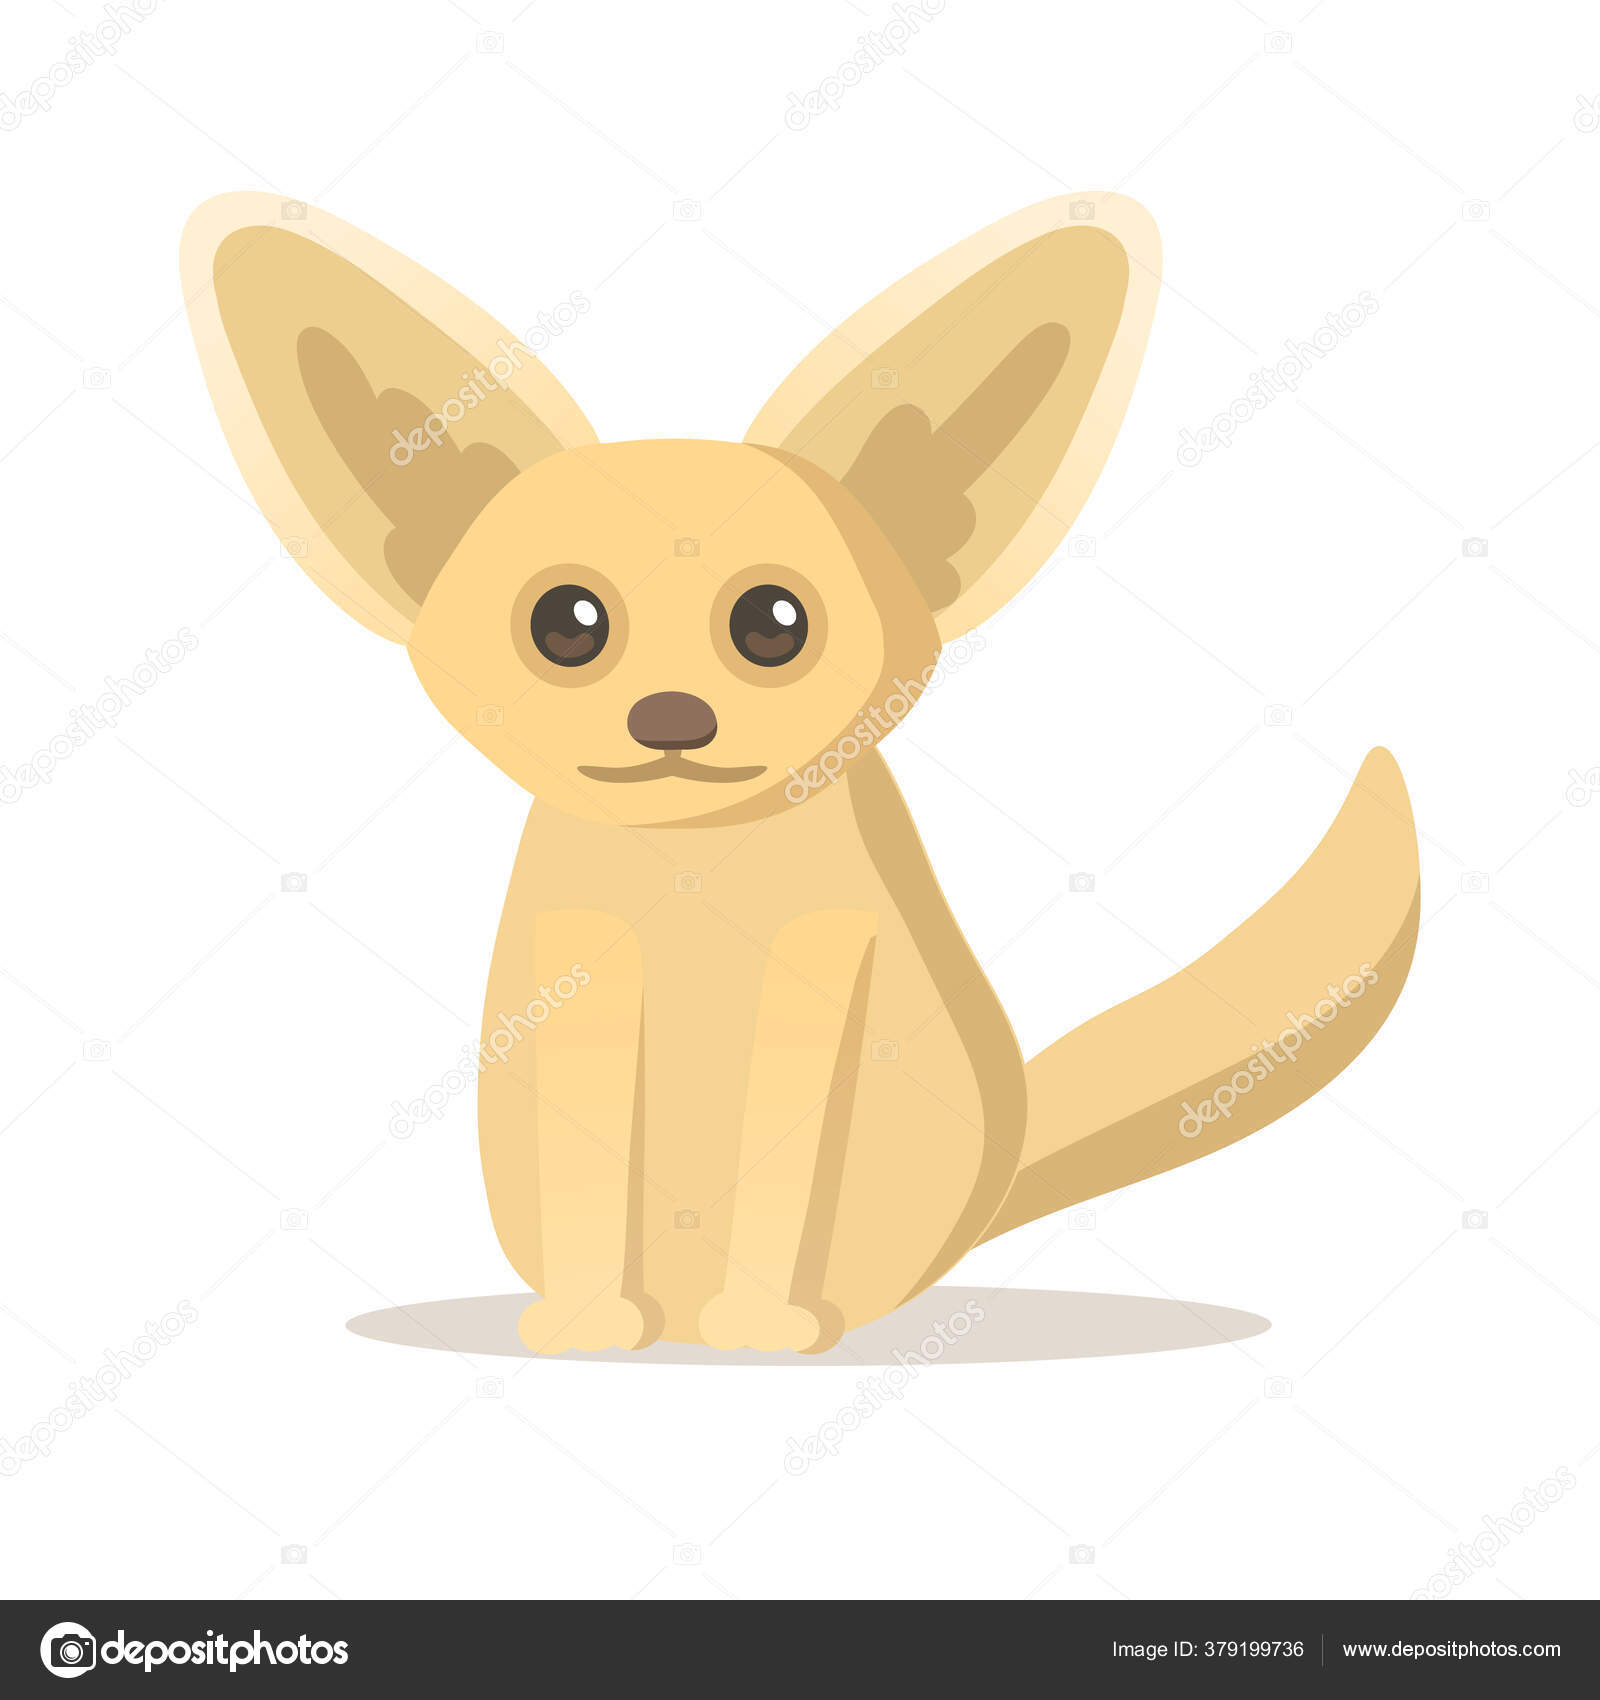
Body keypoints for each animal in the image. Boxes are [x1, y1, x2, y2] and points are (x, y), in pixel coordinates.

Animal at [182, 191, 1419, 1355]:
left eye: (773, 624)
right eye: (565, 624)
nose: (670, 716)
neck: (692, 874)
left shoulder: (821, 967)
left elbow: (783, 1170)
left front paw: (765, 1321)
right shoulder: (578, 961)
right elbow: (592, 1162)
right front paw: (589, 1316)